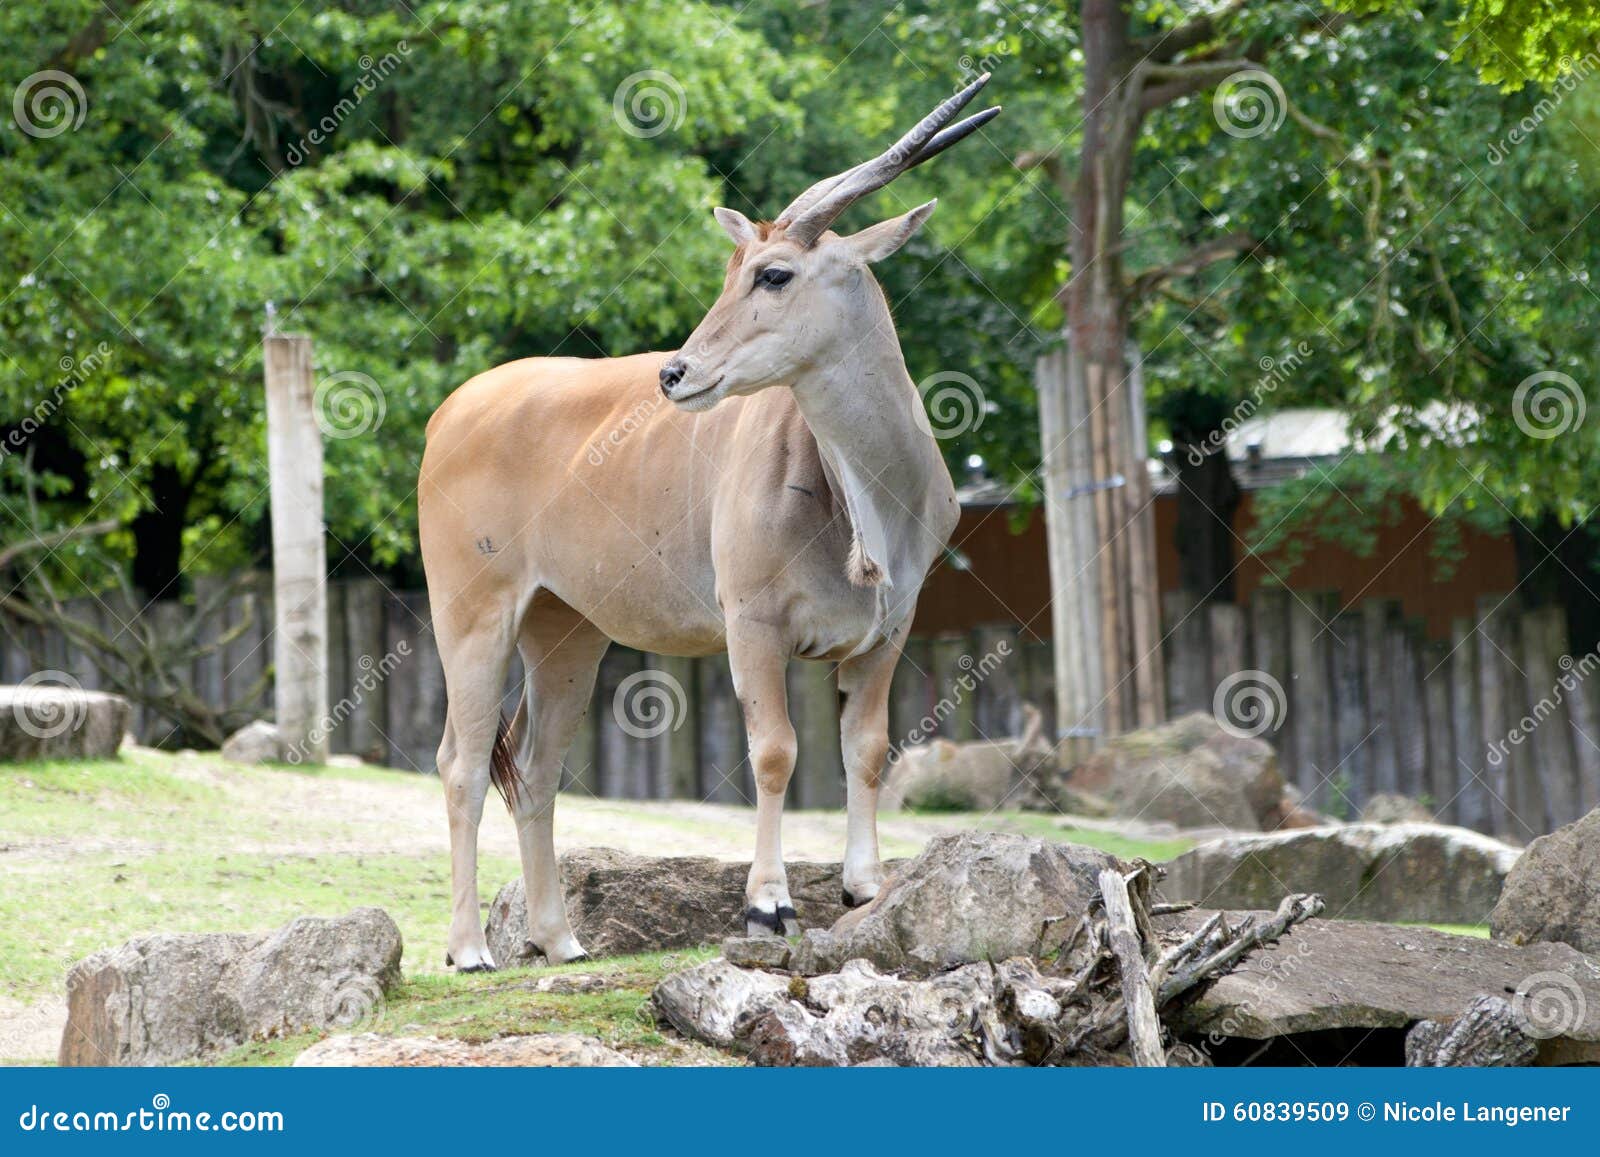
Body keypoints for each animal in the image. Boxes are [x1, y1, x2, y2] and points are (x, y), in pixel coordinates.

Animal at [418, 77, 1000, 970]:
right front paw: (768, 904)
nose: (675, 372)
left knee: (540, 767)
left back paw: (559, 937)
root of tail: (449, 414)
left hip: (566, 633)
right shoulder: (753, 624)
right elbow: (775, 750)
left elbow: (865, 748)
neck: (865, 492)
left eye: (773, 273)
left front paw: (864, 887)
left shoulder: (889, 629)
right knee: (462, 761)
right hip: (474, 619)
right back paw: (471, 947)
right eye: (736, 269)